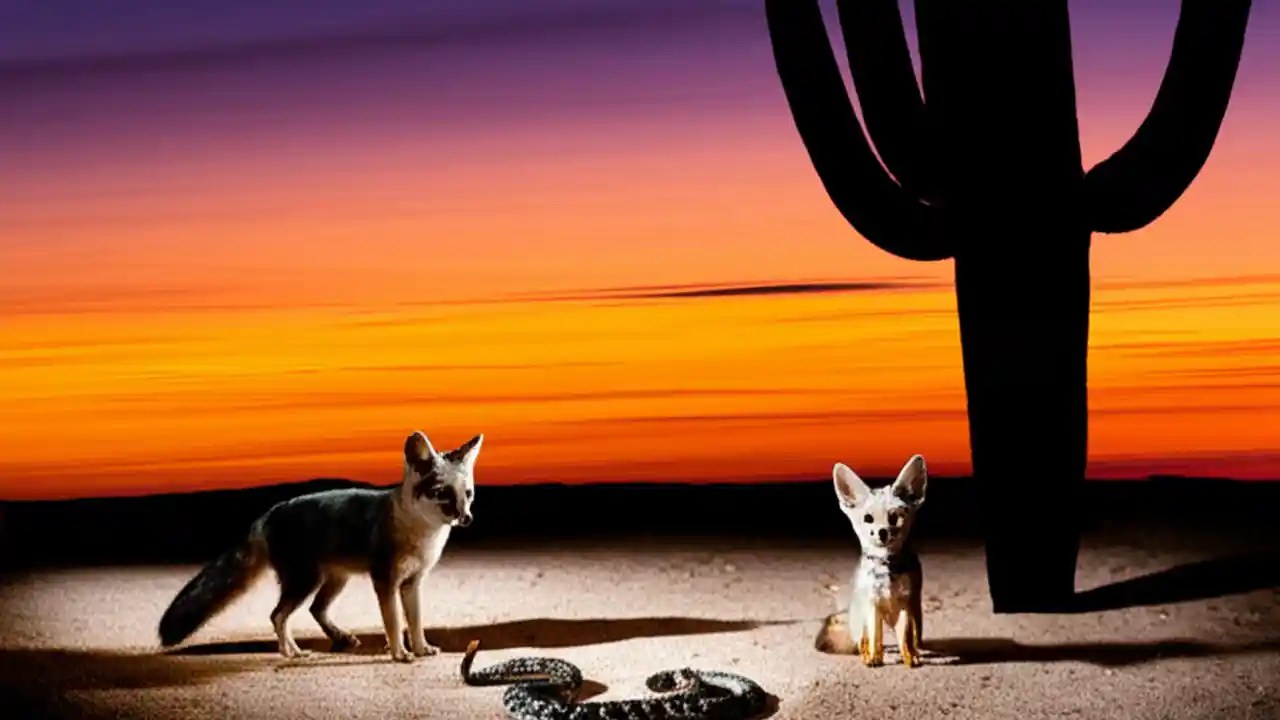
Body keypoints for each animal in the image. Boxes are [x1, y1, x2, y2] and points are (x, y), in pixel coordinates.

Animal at [157, 430, 483, 662]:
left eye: (468, 494)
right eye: (442, 494)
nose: (466, 518)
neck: (422, 535)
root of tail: (269, 513)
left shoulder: (412, 583)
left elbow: (415, 622)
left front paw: (421, 648)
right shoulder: (385, 581)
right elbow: (394, 622)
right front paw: (400, 653)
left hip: (334, 581)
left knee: (312, 610)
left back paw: (336, 639)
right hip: (306, 581)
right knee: (278, 615)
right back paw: (291, 653)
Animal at [815, 454, 928, 668]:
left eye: (895, 517)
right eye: (868, 518)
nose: (882, 532)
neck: (887, 573)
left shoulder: (905, 603)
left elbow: (906, 638)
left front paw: (910, 657)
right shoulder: (873, 604)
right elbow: (876, 637)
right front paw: (875, 658)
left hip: (916, 613)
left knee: (914, 636)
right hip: (862, 616)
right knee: (863, 639)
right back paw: (868, 653)